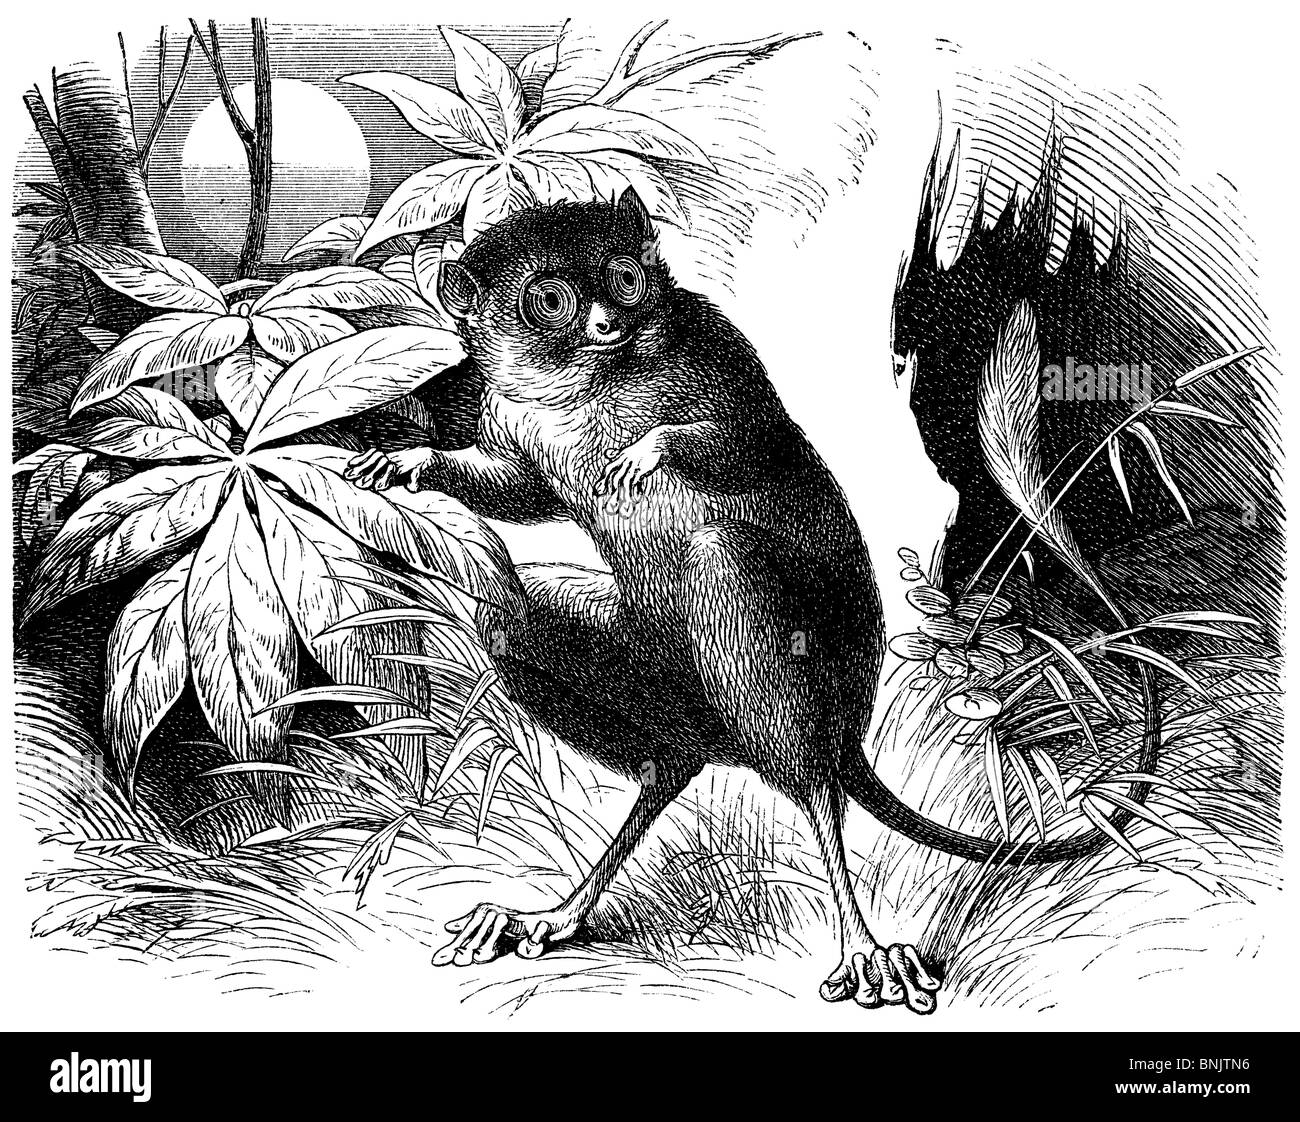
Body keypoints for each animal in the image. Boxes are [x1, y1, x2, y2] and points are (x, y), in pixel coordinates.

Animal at [344, 188, 1150, 1013]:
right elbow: (523, 491)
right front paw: (412, 464)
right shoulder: (507, 413)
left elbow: (752, 436)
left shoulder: (716, 344)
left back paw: (860, 937)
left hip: (808, 679)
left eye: (626, 279)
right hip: (675, 693)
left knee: (734, 581)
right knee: (520, 620)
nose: (607, 324)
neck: (588, 386)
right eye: (552, 302)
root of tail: (845, 732)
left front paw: (654, 450)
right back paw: (569, 901)